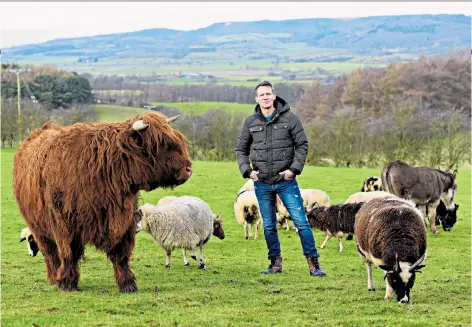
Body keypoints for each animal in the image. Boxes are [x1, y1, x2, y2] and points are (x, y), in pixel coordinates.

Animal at [13, 112, 193, 292]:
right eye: (160, 144)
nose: (189, 169)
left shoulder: (124, 220)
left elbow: (121, 254)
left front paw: (128, 284)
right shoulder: (64, 223)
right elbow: (68, 253)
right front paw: (67, 283)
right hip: (39, 228)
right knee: (50, 253)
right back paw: (54, 278)